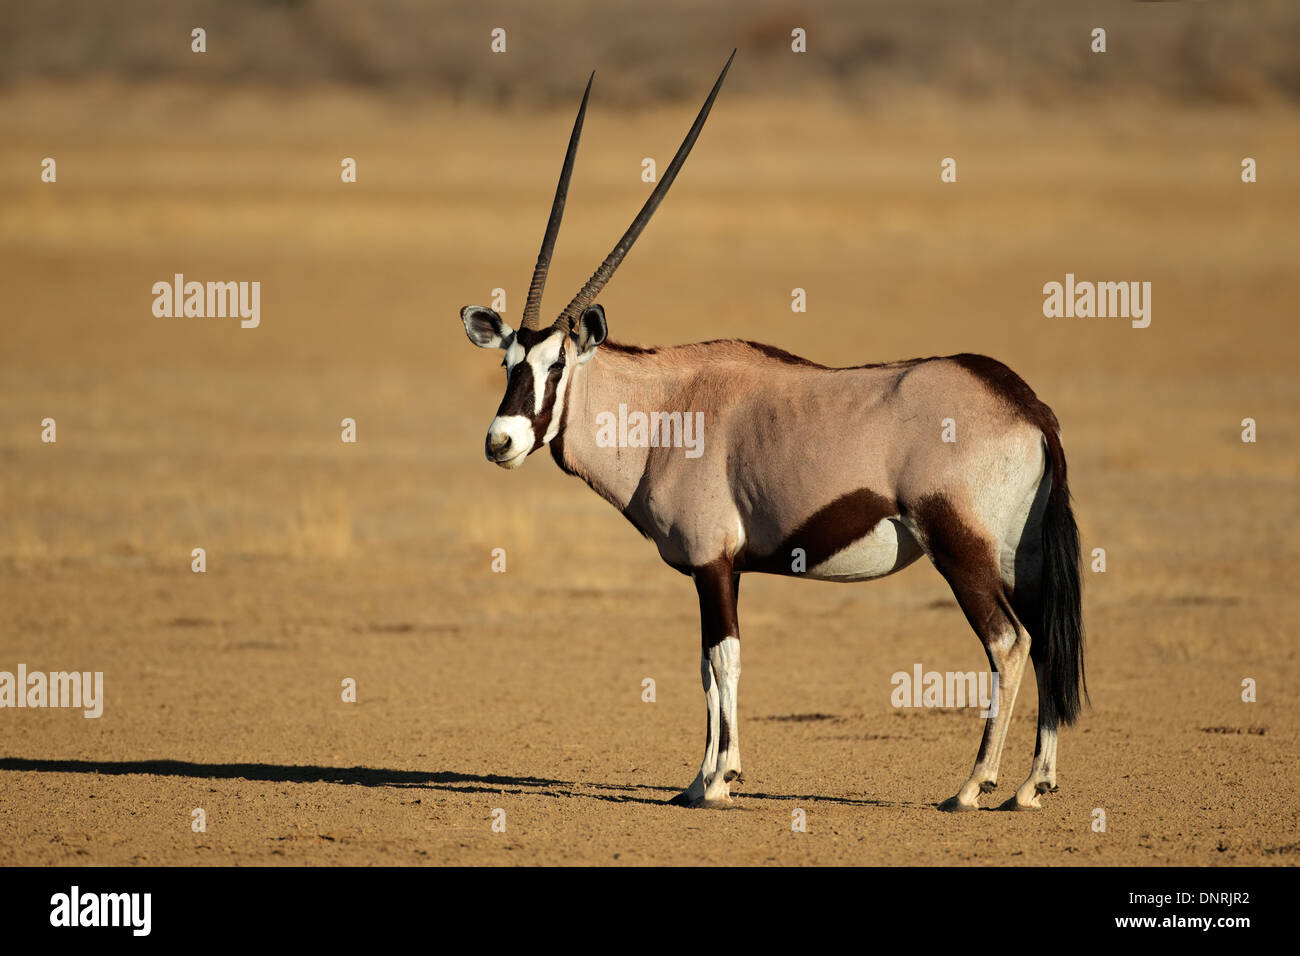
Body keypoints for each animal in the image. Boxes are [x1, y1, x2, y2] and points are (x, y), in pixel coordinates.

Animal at [459, 52, 1087, 811]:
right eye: (507, 363)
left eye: (555, 365)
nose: (500, 442)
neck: (666, 411)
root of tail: (1027, 405)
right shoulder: (720, 568)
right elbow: (709, 668)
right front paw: (701, 778)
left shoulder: (713, 562)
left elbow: (721, 660)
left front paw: (715, 781)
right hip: (1020, 557)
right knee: (1047, 640)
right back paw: (1032, 785)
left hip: (963, 551)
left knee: (1008, 643)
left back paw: (972, 786)